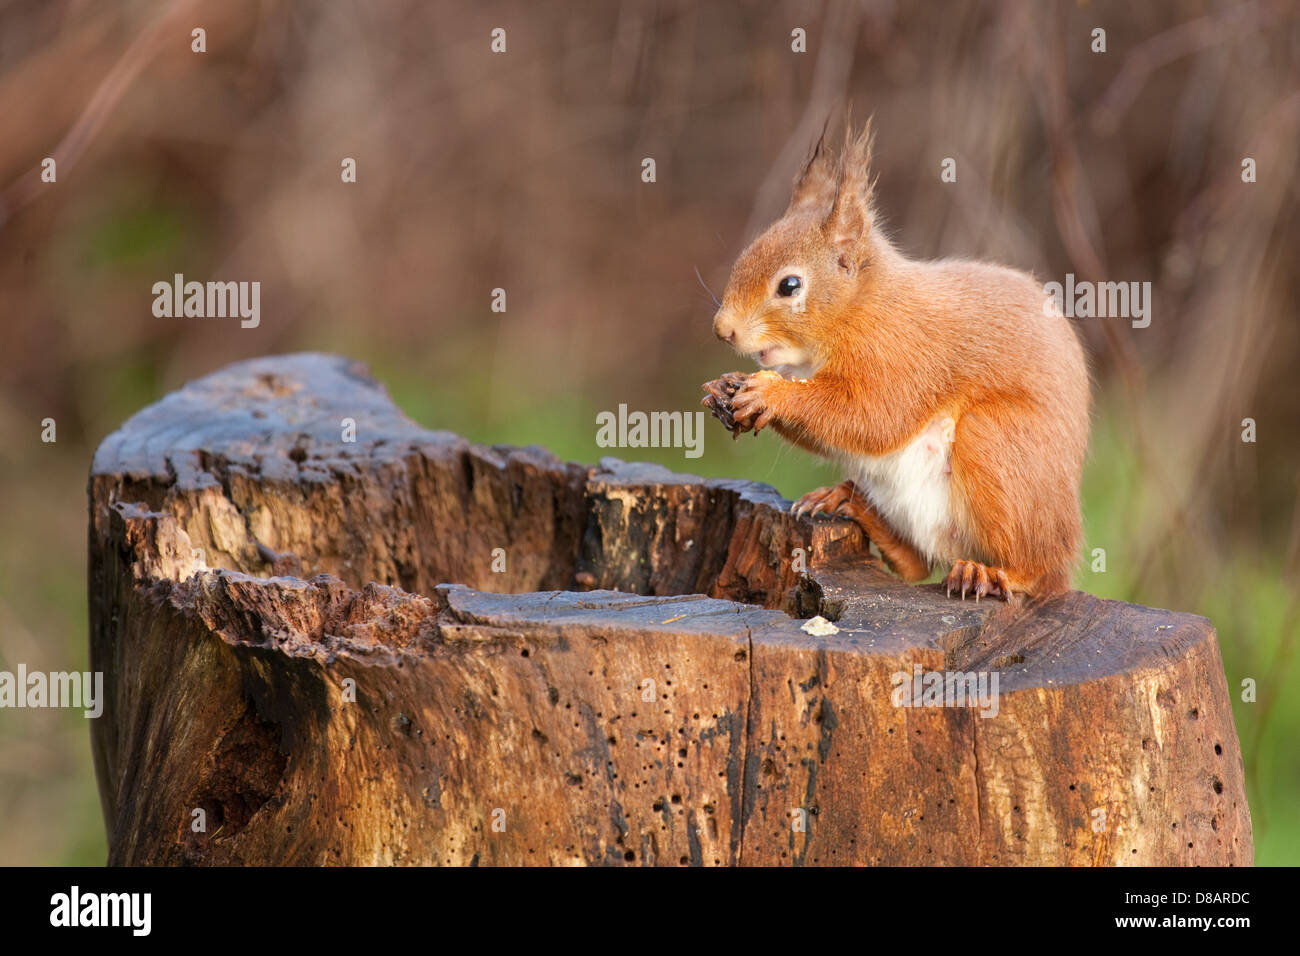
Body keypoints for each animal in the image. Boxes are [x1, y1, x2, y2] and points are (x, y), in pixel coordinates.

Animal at [703, 121, 1090, 601]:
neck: (858, 310)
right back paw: (849, 503)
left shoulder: (903, 353)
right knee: (915, 564)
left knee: (1033, 568)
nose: (723, 329)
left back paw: (991, 573)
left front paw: (769, 393)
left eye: (789, 285)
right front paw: (722, 388)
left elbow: (874, 416)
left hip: (996, 447)